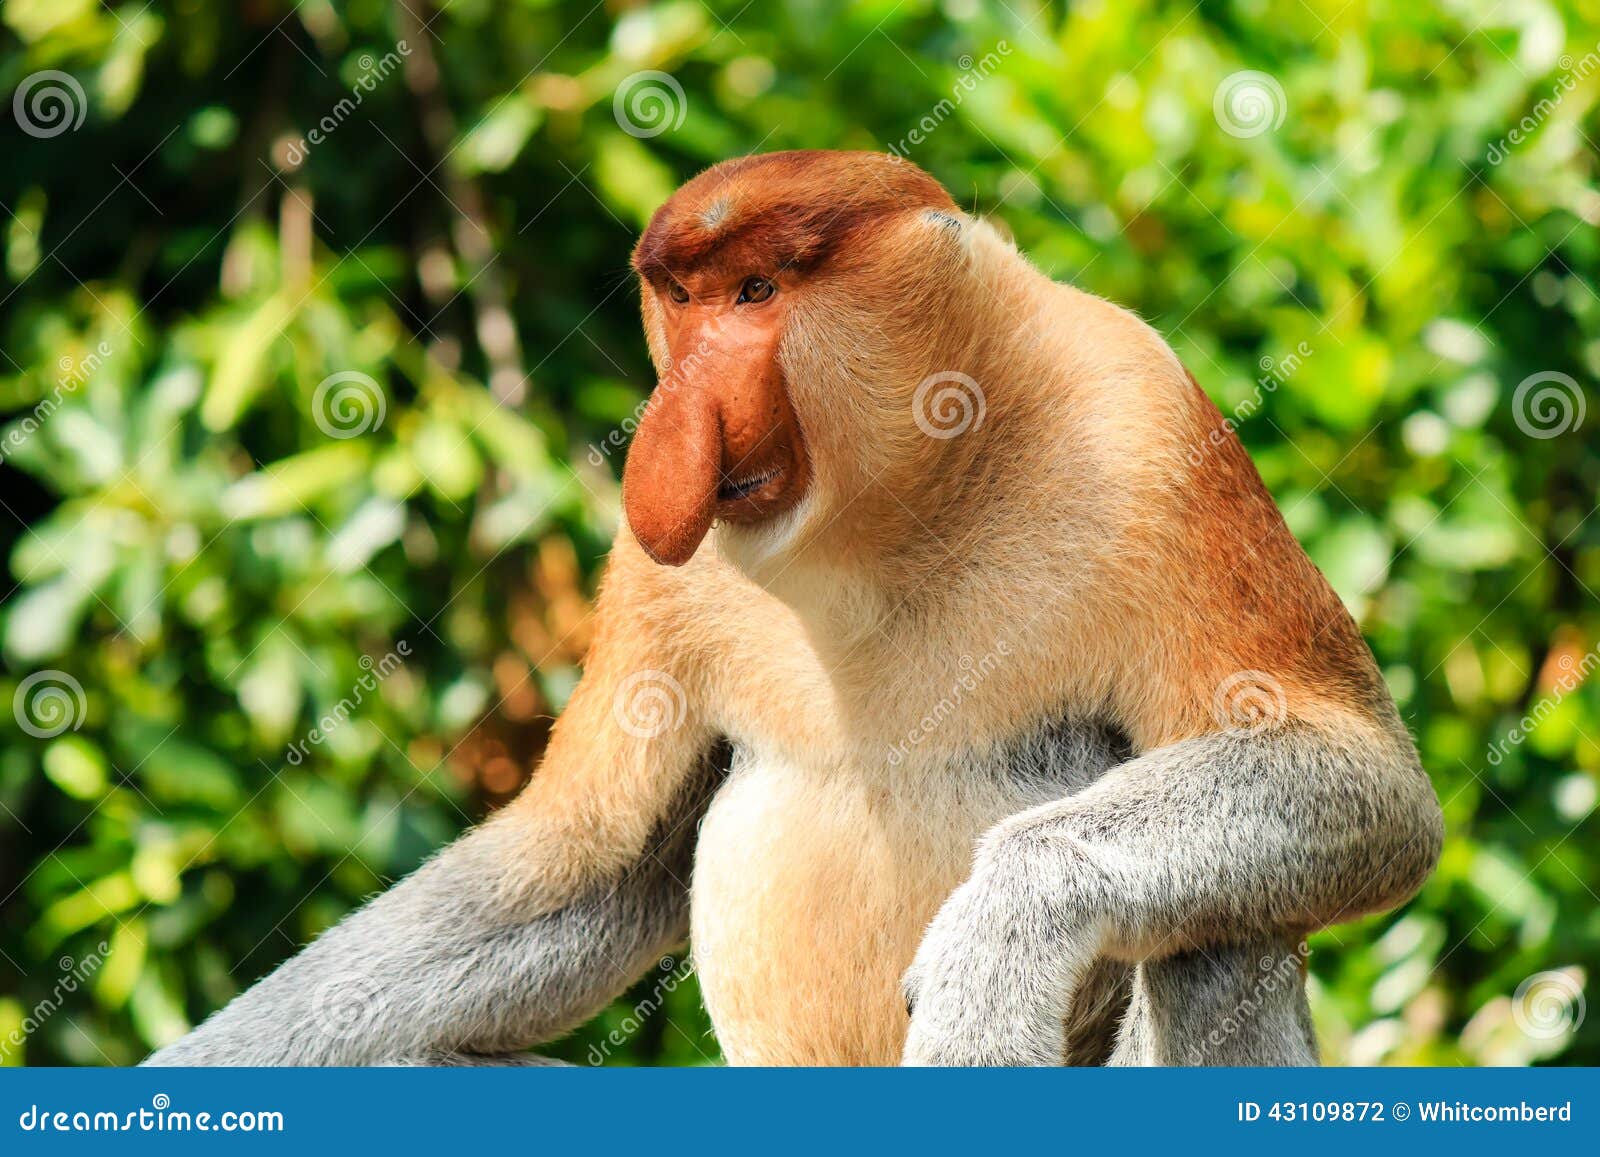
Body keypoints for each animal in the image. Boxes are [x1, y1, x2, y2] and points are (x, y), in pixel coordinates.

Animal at [144, 150, 1442, 1067]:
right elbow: (589, 858)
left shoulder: (1143, 422)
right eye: (683, 301)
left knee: (1222, 934)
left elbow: (1361, 773)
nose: (674, 420)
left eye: (758, 292)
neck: (897, 514)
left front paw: (993, 947)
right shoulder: (659, 569)